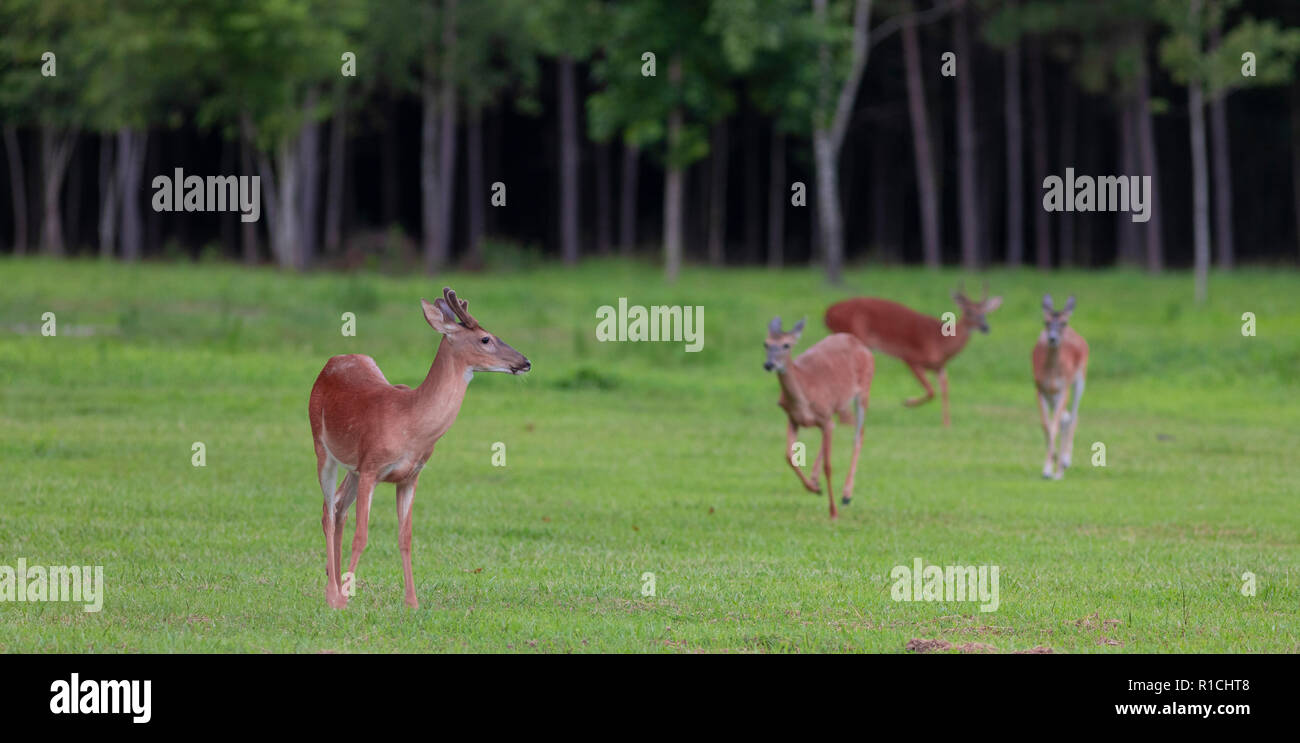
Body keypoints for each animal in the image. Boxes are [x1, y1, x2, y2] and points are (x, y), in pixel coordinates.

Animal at [308, 287, 530, 609]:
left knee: (338, 507)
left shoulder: (409, 476)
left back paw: (334, 583)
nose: (525, 362)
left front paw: (412, 602)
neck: (411, 422)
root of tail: (330, 362)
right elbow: (362, 536)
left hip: (352, 467)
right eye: (485, 338)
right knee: (328, 511)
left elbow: (406, 538)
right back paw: (333, 594)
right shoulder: (372, 467)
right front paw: (346, 598)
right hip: (322, 447)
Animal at [764, 316, 875, 520]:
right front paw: (813, 489)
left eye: (786, 345)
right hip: (839, 404)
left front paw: (833, 512)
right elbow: (789, 456)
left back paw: (846, 495)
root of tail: (858, 342)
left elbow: (828, 467)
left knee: (859, 435)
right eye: (766, 343)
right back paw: (815, 481)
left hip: (864, 390)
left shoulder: (824, 418)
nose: (769, 365)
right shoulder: (793, 418)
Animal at [824, 284, 1002, 426]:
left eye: (986, 312)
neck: (941, 342)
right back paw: (848, 421)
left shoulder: (939, 366)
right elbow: (931, 391)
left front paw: (947, 424)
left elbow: (944, 390)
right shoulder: (911, 357)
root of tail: (827, 312)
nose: (986, 327)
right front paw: (907, 402)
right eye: (969, 311)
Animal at [1032, 294, 1088, 480]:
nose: (1052, 338)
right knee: (1066, 417)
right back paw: (1060, 465)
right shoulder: (1039, 388)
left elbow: (1055, 425)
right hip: (1053, 395)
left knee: (1073, 416)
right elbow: (1046, 425)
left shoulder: (1065, 388)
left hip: (1080, 378)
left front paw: (1052, 467)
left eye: (1064, 322)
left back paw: (1065, 461)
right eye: (1046, 321)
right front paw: (1049, 467)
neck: (1051, 373)